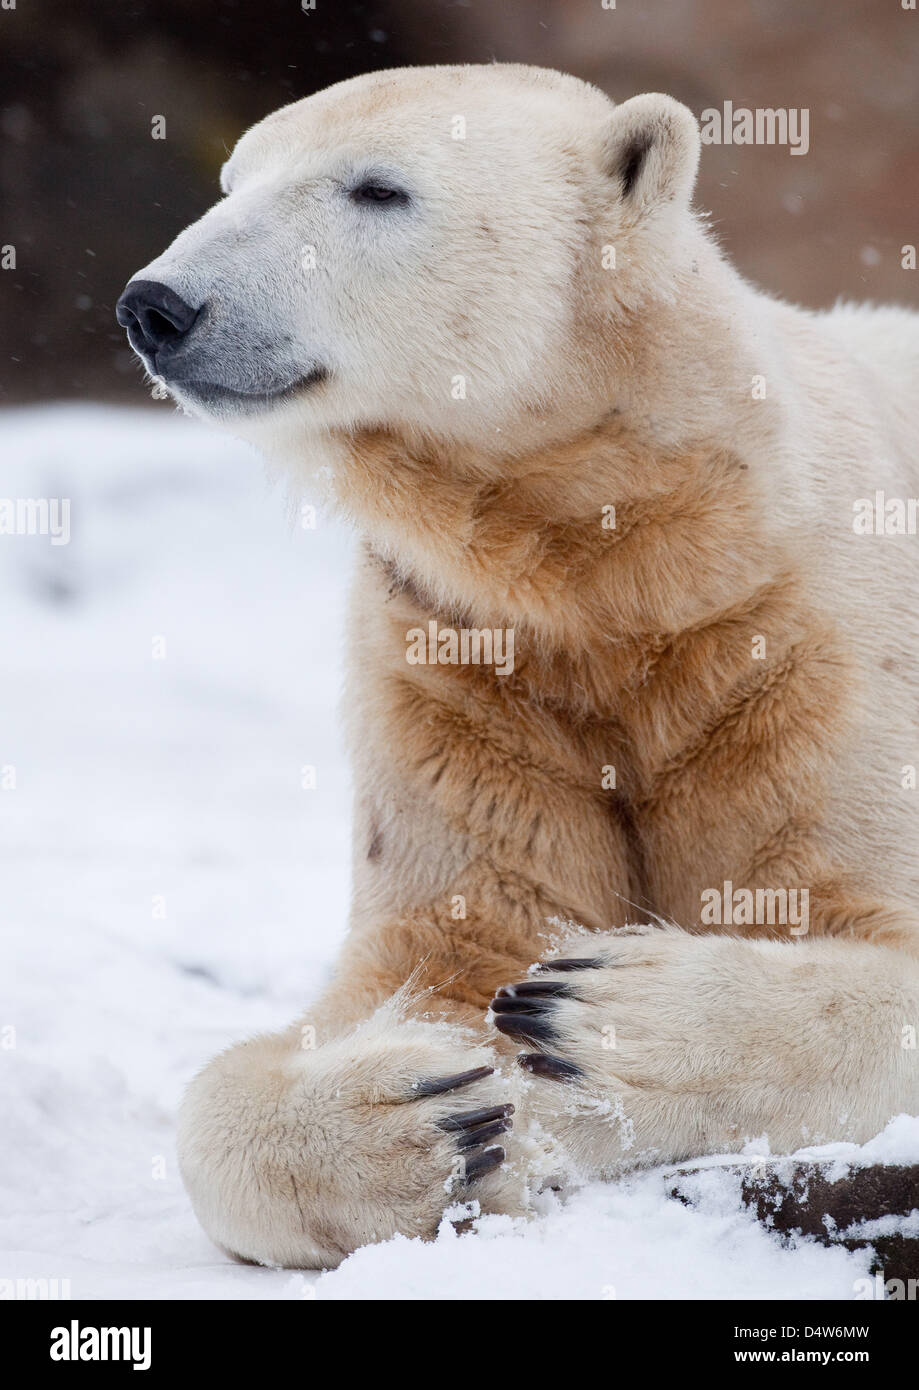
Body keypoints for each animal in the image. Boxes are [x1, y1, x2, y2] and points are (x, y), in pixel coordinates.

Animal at [115, 63, 919, 1269]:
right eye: (232, 179)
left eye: (378, 188)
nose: (160, 305)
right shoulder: (459, 665)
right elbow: (435, 951)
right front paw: (438, 1114)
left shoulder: (795, 641)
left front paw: (594, 1020)